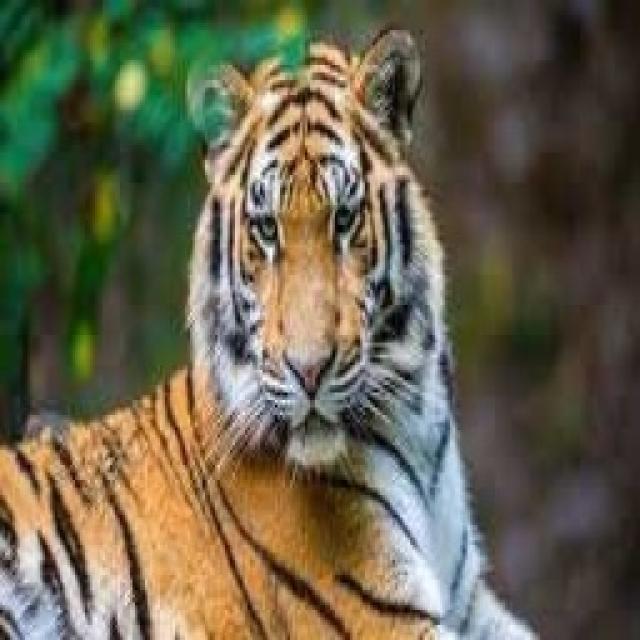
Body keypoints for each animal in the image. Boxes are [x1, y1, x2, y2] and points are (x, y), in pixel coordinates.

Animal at [0, 30, 536, 639]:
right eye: (265, 229)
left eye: (345, 219)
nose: (310, 370)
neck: (415, 421)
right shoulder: (377, 614)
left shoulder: (470, 600)